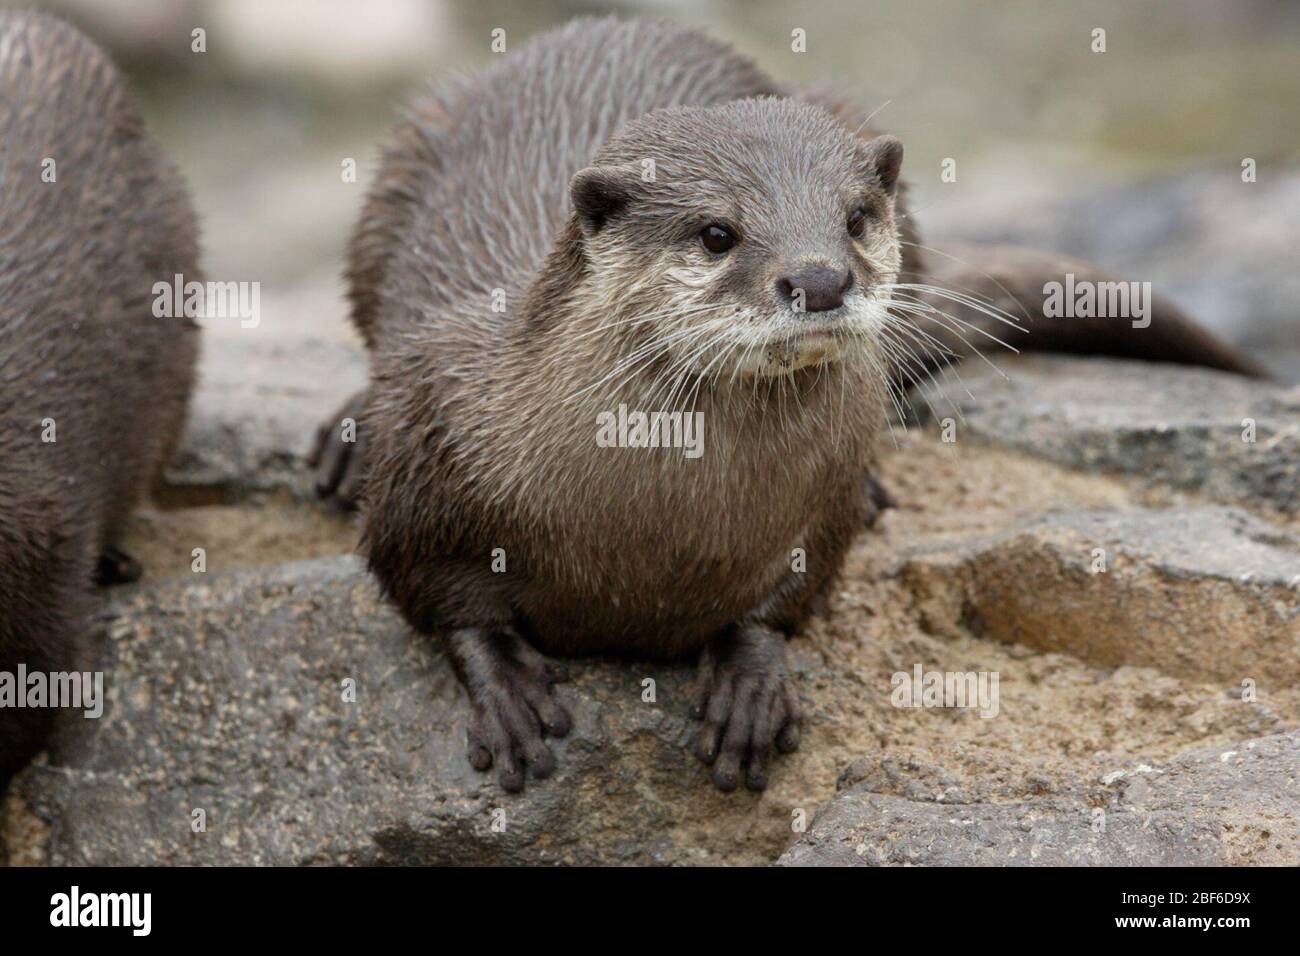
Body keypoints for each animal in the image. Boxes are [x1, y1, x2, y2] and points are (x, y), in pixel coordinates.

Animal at [315, 17, 1265, 792]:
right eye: (716, 233)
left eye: (855, 217)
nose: (820, 278)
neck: (652, 530)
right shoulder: (433, 445)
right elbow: (425, 585)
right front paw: (507, 687)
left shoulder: (823, 497)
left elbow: (795, 590)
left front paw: (748, 678)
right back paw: (342, 436)